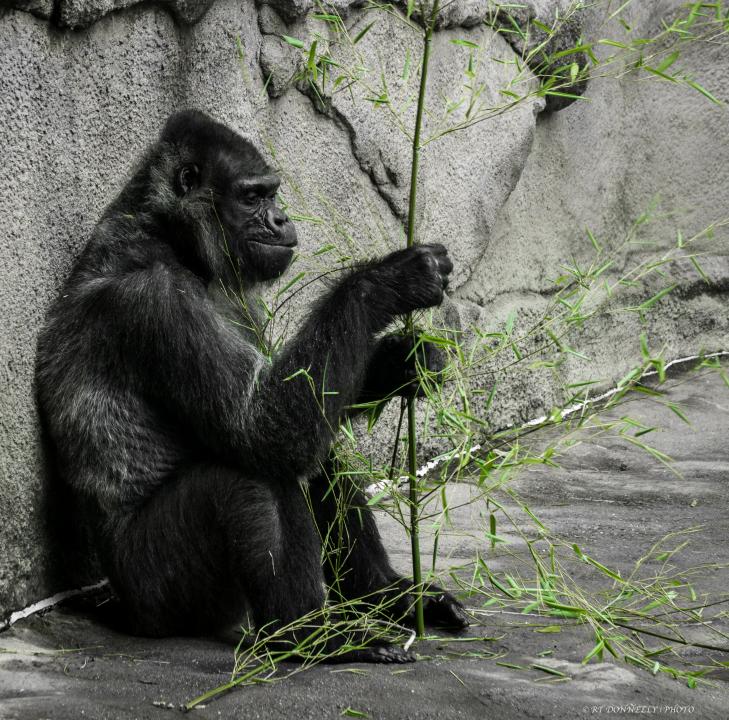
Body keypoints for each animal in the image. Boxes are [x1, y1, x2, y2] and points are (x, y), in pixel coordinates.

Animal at [36, 110, 468, 663]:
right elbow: (263, 425)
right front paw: (386, 283)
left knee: (315, 452)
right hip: (158, 598)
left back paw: (385, 596)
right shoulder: (155, 300)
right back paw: (313, 634)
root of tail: (125, 611)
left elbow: (301, 390)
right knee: (249, 478)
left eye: (272, 193)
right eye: (251, 197)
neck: (174, 239)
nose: (280, 220)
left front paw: (406, 361)